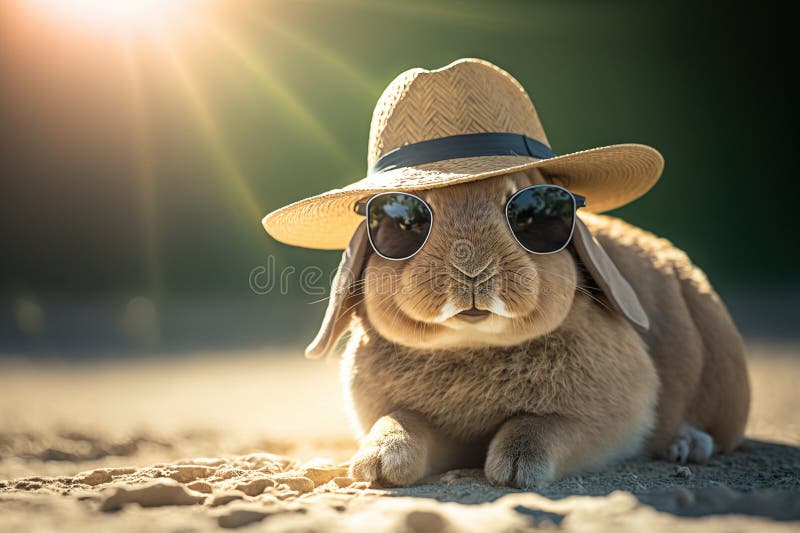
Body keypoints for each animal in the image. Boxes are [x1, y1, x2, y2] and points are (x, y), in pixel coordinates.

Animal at [312, 169, 749, 489]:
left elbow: (539, 425)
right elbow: (402, 420)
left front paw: (515, 469)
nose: (471, 264)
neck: (473, 341)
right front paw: (379, 461)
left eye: (524, 214)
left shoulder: (606, 421)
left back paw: (686, 445)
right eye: (408, 224)